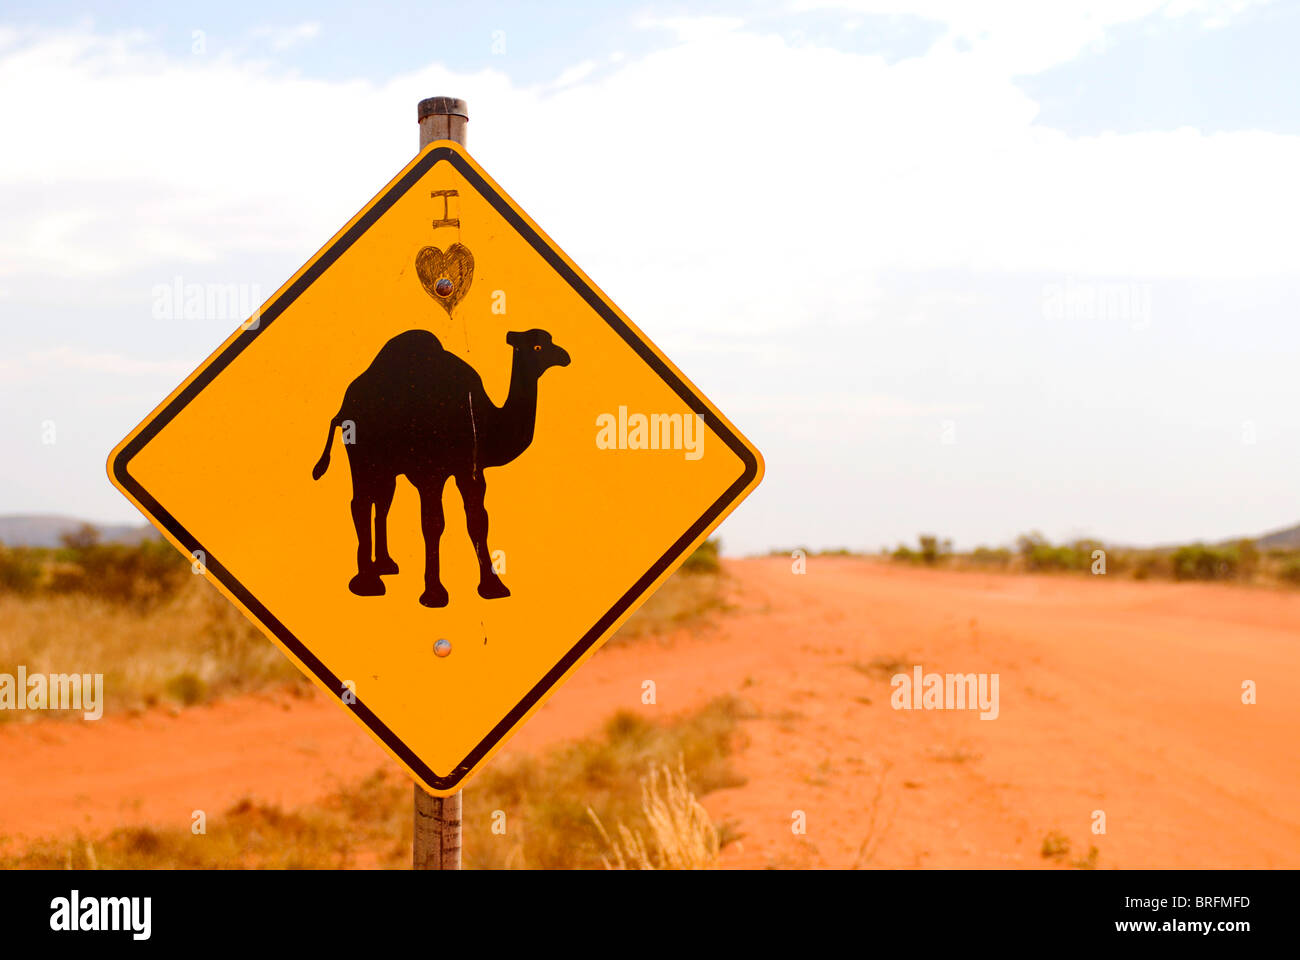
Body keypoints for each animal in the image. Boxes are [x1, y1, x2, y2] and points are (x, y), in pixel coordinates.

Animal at [311, 328, 570, 607]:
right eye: (537, 347)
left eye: (549, 340)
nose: (565, 356)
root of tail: (344, 406)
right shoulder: (430, 473)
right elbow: (433, 523)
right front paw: (434, 594)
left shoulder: (470, 470)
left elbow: (478, 520)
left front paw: (493, 587)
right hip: (361, 454)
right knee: (359, 503)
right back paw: (367, 583)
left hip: (386, 466)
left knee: (380, 504)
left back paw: (384, 566)